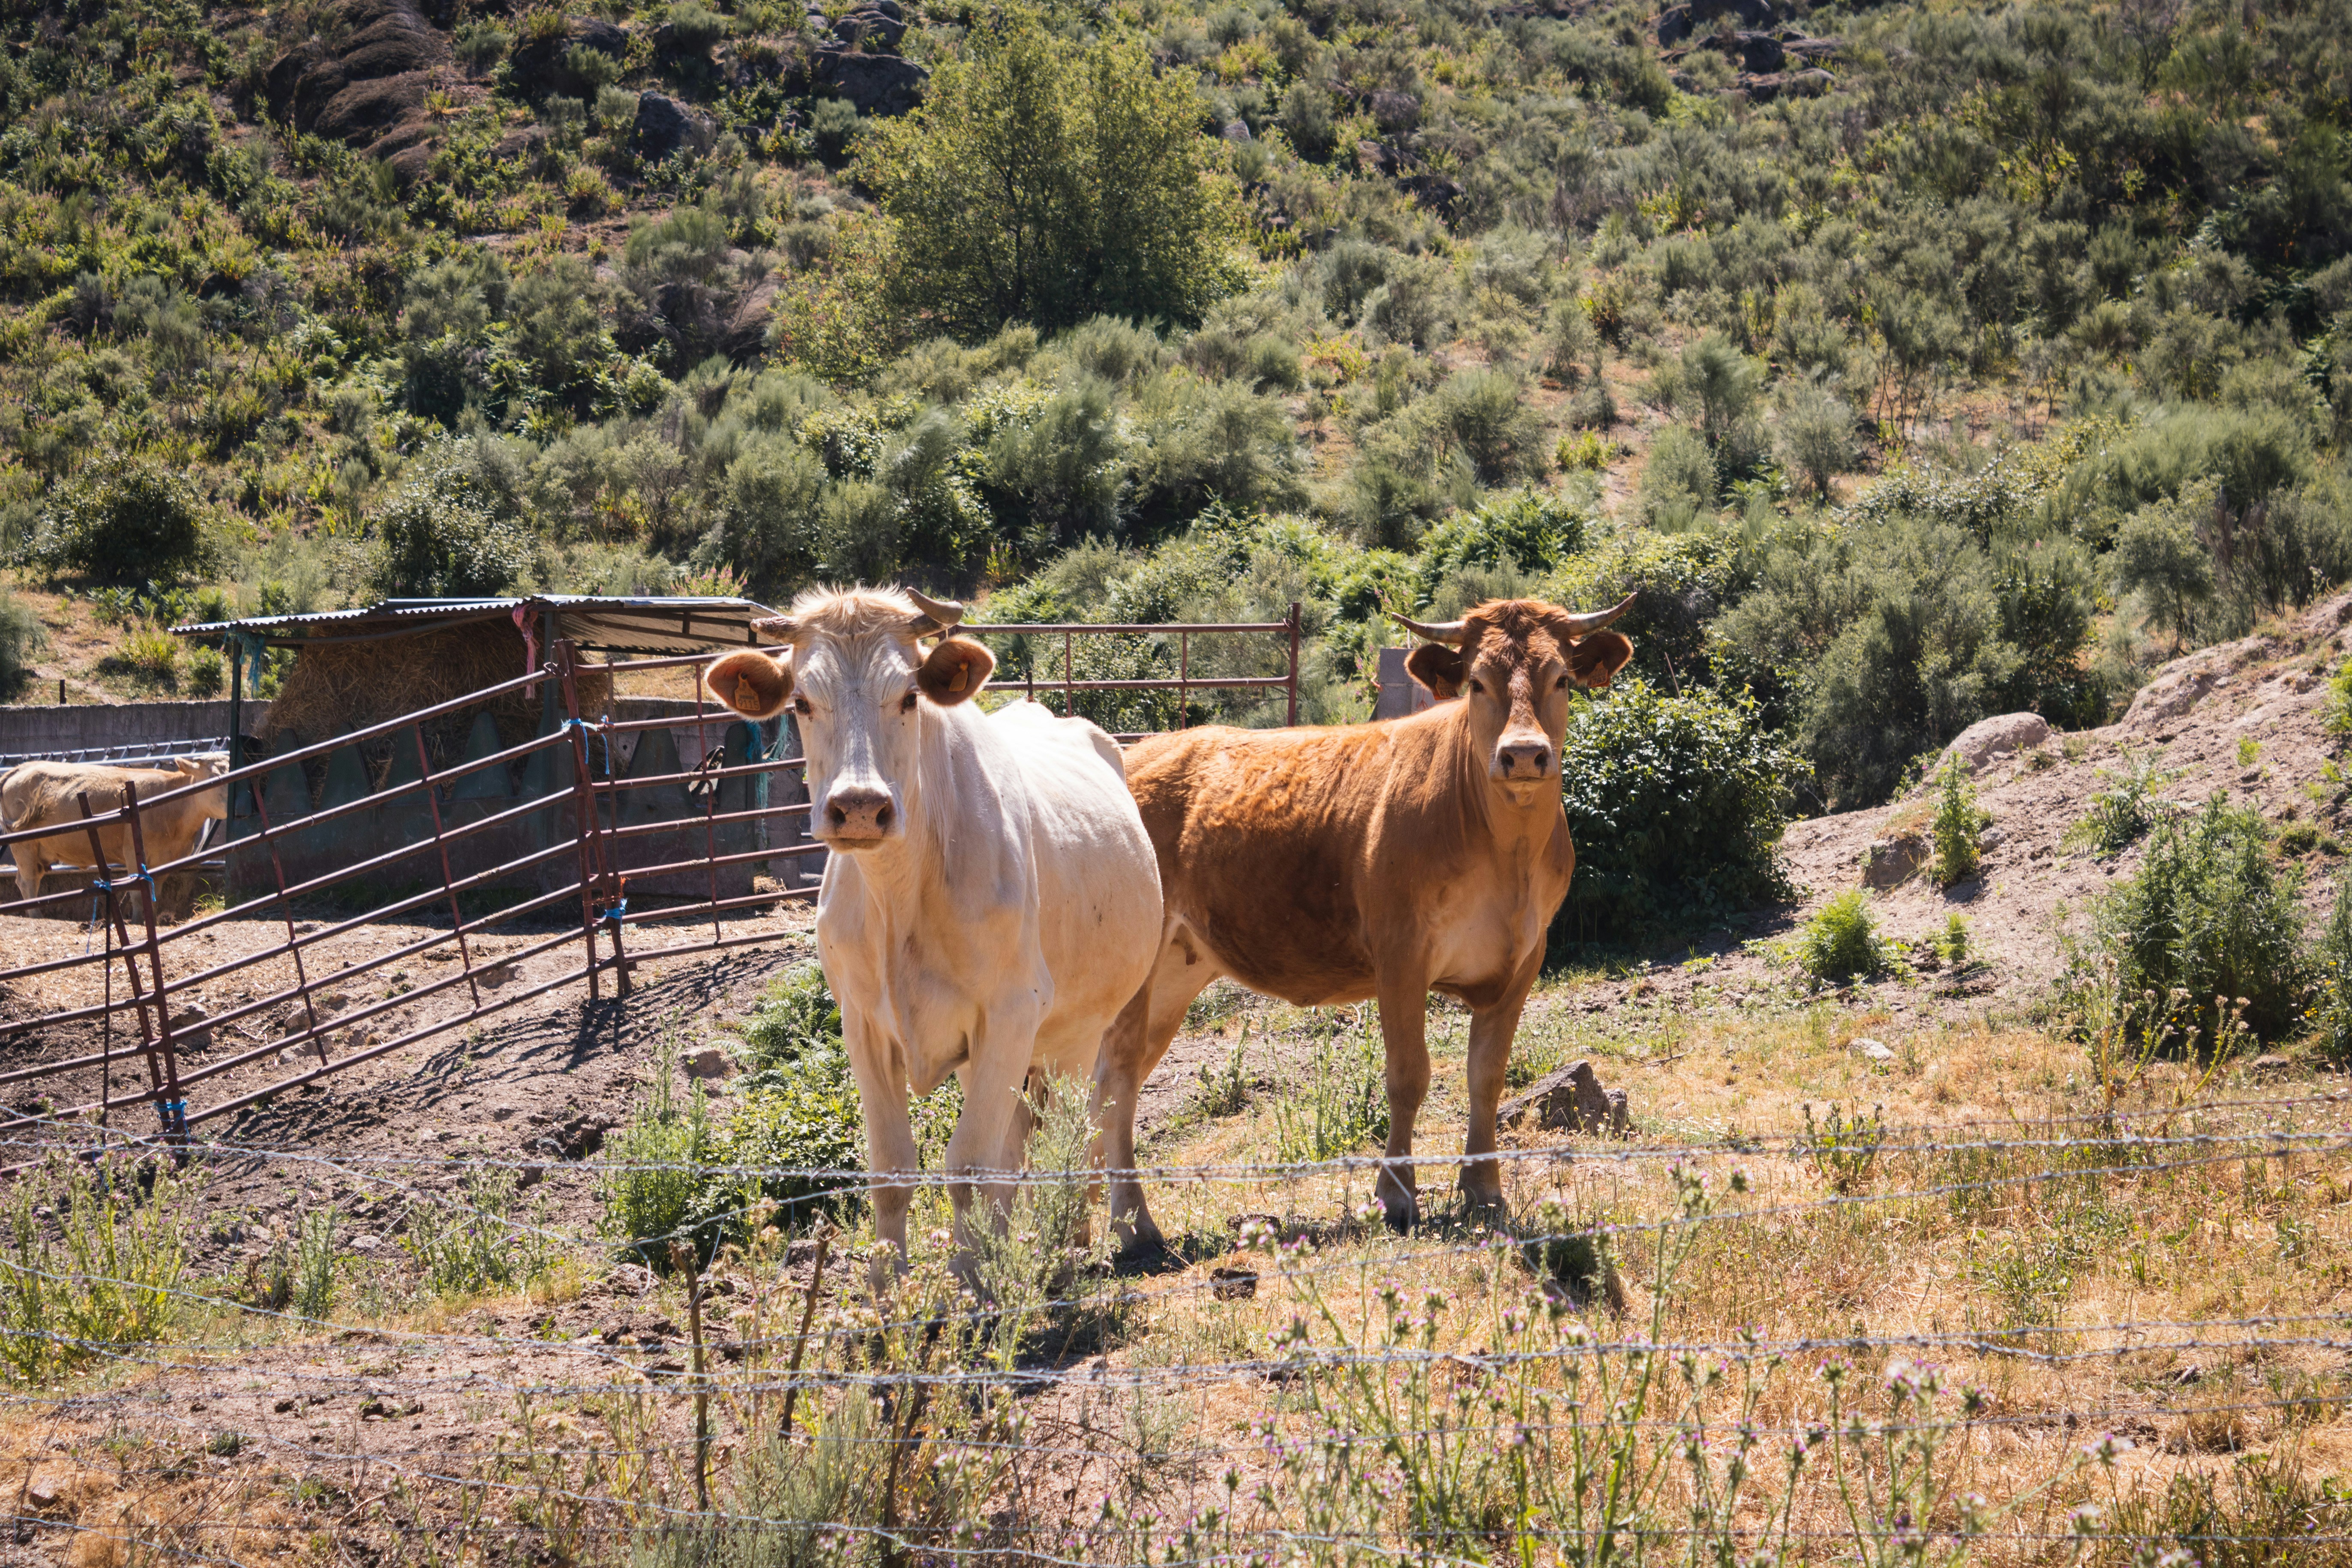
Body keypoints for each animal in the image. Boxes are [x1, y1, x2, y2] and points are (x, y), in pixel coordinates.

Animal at [1, 755, 230, 907]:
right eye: (214, 776)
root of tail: (22, 768)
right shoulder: (134, 852)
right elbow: (139, 893)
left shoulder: (167, 859)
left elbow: (156, 891)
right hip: (24, 845)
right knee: (28, 882)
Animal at [703, 588, 1163, 1272]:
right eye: (803, 702)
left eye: (909, 696)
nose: (859, 807)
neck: (900, 895)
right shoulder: (865, 1025)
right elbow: (894, 1167)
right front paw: (889, 1285)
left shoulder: (1011, 1010)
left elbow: (970, 1164)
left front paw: (970, 1280)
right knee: (1018, 1141)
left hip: (1081, 1029)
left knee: (1078, 1126)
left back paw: (1076, 1241)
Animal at [1095, 594, 1636, 1251]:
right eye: (1477, 682)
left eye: (1561, 679)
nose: (1525, 754)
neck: (1507, 857)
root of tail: (1136, 752)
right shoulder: (1401, 954)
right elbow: (1409, 1076)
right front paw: (1396, 1197)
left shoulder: (1524, 959)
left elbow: (1486, 1076)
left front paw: (1484, 1190)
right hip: (1138, 964)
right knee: (1118, 1078)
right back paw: (1133, 1225)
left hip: (1176, 968)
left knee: (1097, 1088)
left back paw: (1075, 1224)